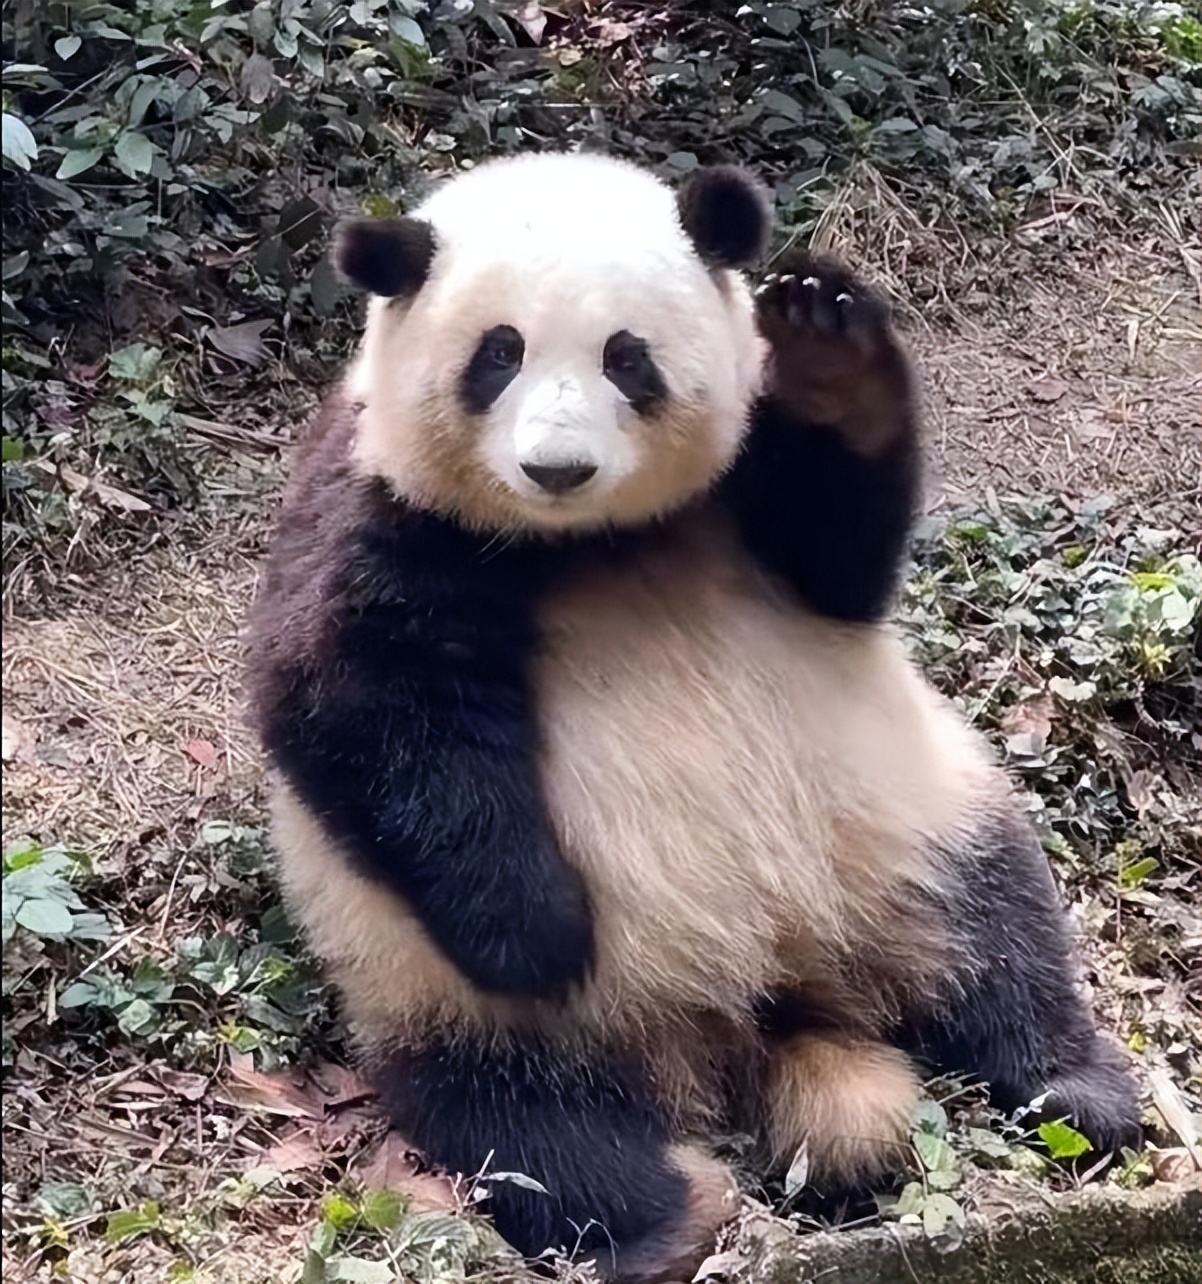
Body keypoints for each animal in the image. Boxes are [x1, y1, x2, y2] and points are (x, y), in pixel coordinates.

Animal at [246, 153, 1140, 1282]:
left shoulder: (746, 499)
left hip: (897, 823)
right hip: (429, 977)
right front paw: (539, 930)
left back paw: (1075, 1087)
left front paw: (823, 340)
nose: (556, 467)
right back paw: (663, 1218)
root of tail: (750, 1015)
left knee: (998, 929)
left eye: (627, 357)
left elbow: (842, 560)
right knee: (517, 1110)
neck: (585, 539)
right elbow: (344, 695)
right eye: (498, 354)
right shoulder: (375, 499)